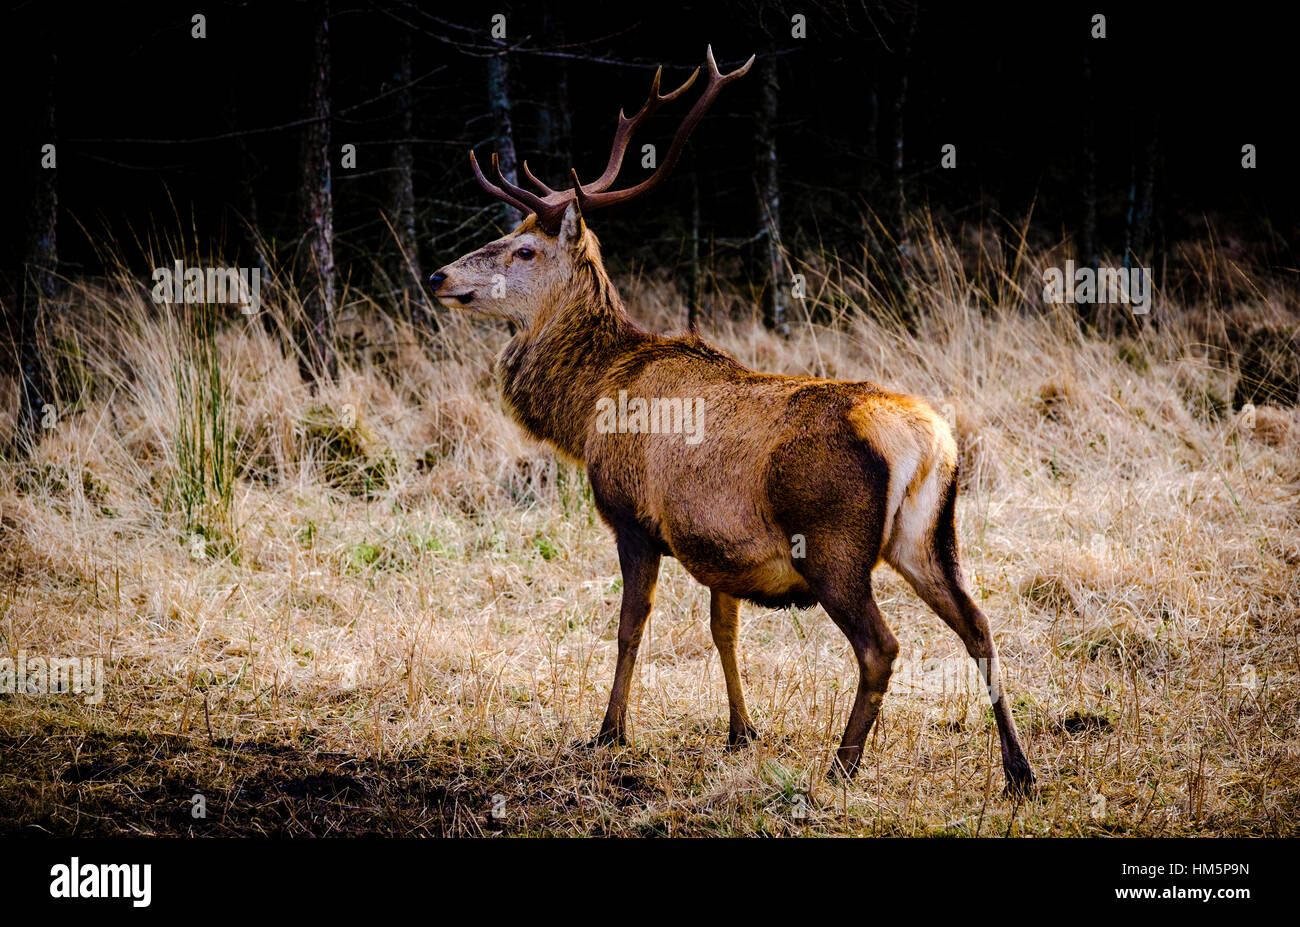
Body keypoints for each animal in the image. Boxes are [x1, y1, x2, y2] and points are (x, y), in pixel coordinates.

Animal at [428, 47, 1036, 794]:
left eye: (523, 251)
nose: (439, 275)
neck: (591, 403)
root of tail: (927, 441)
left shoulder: (632, 517)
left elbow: (630, 626)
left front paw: (608, 731)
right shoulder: (716, 546)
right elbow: (725, 630)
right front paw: (741, 731)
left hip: (831, 540)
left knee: (881, 646)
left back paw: (842, 764)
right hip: (931, 535)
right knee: (979, 627)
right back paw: (1018, 769)